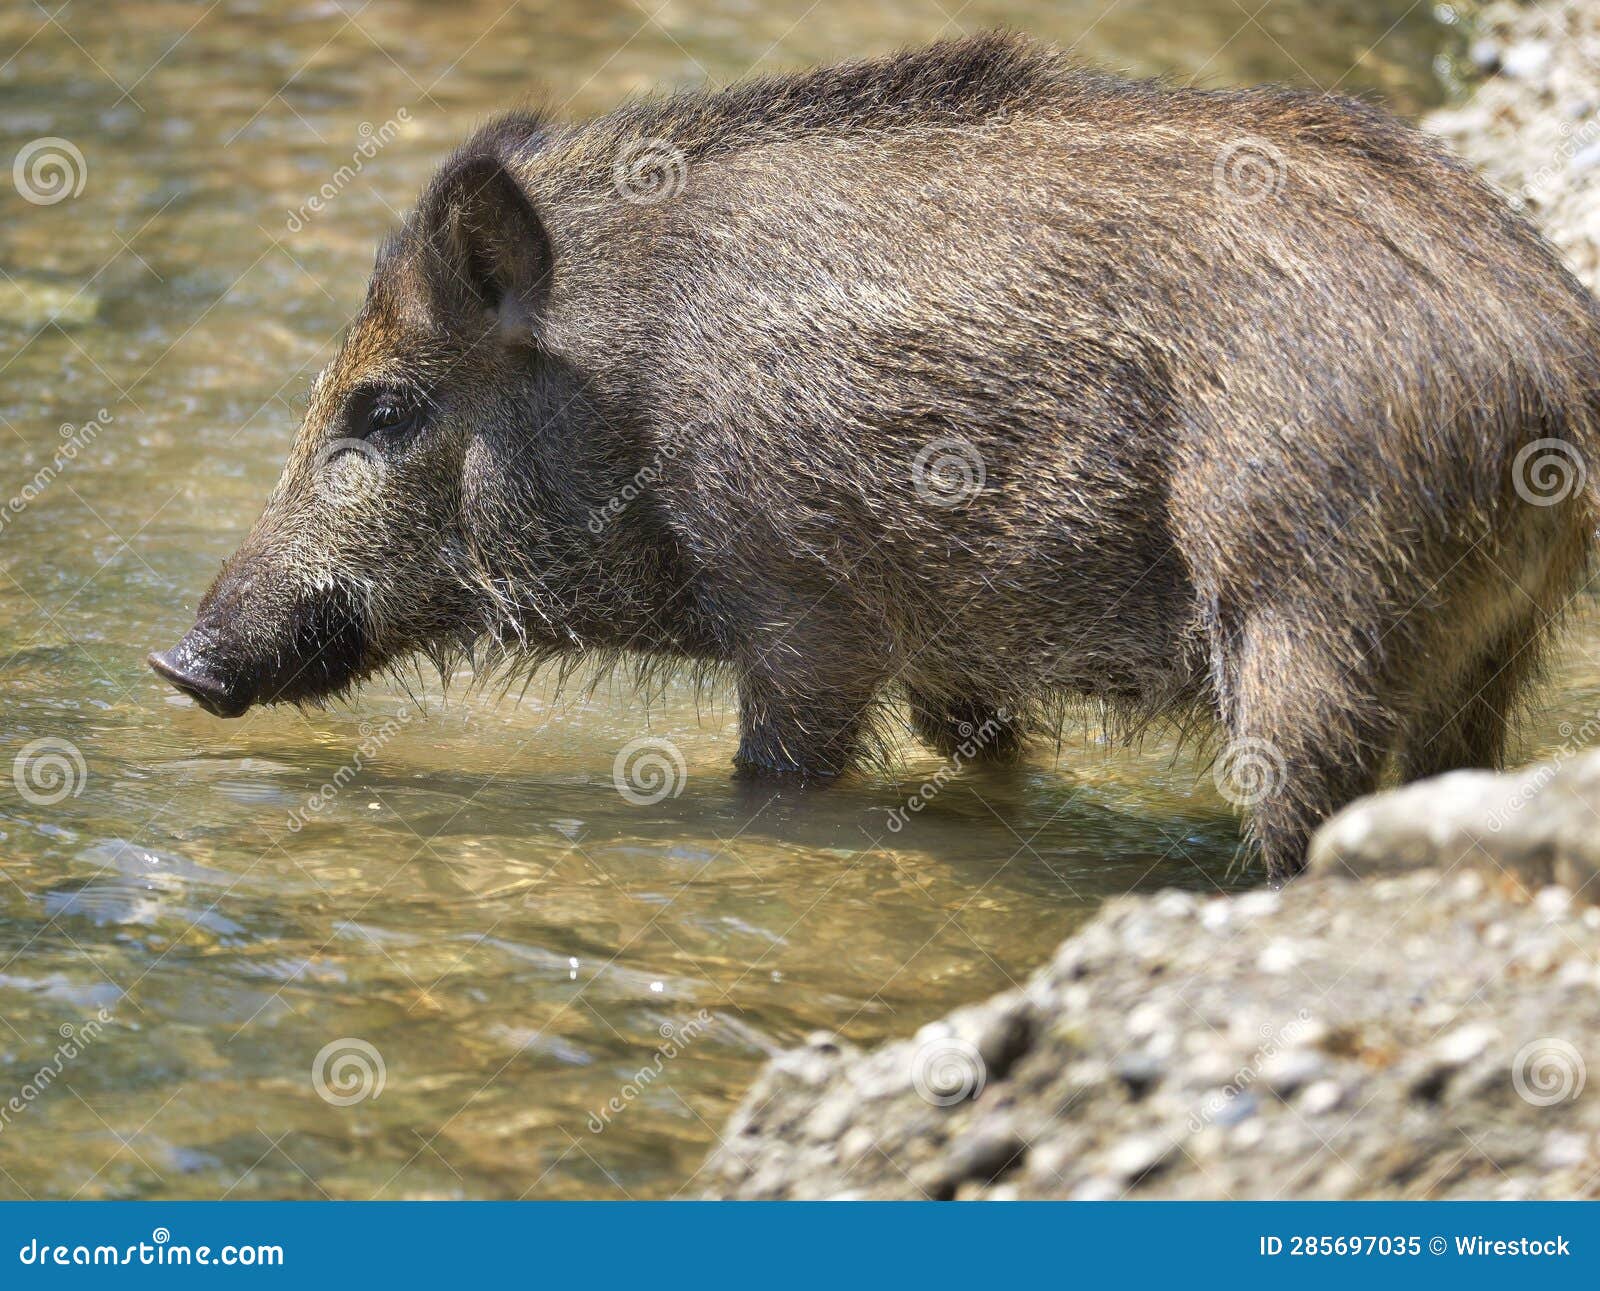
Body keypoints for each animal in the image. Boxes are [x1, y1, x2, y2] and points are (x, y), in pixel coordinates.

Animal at [150, 33, 1600, 877]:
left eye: (385, 406)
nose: (178, 661)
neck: (632, 384)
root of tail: (1543, 362)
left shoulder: (803, 606)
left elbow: (782, 773)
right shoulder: (957, 643)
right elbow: (981, 752)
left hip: (1301, 609)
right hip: (1487, 647)